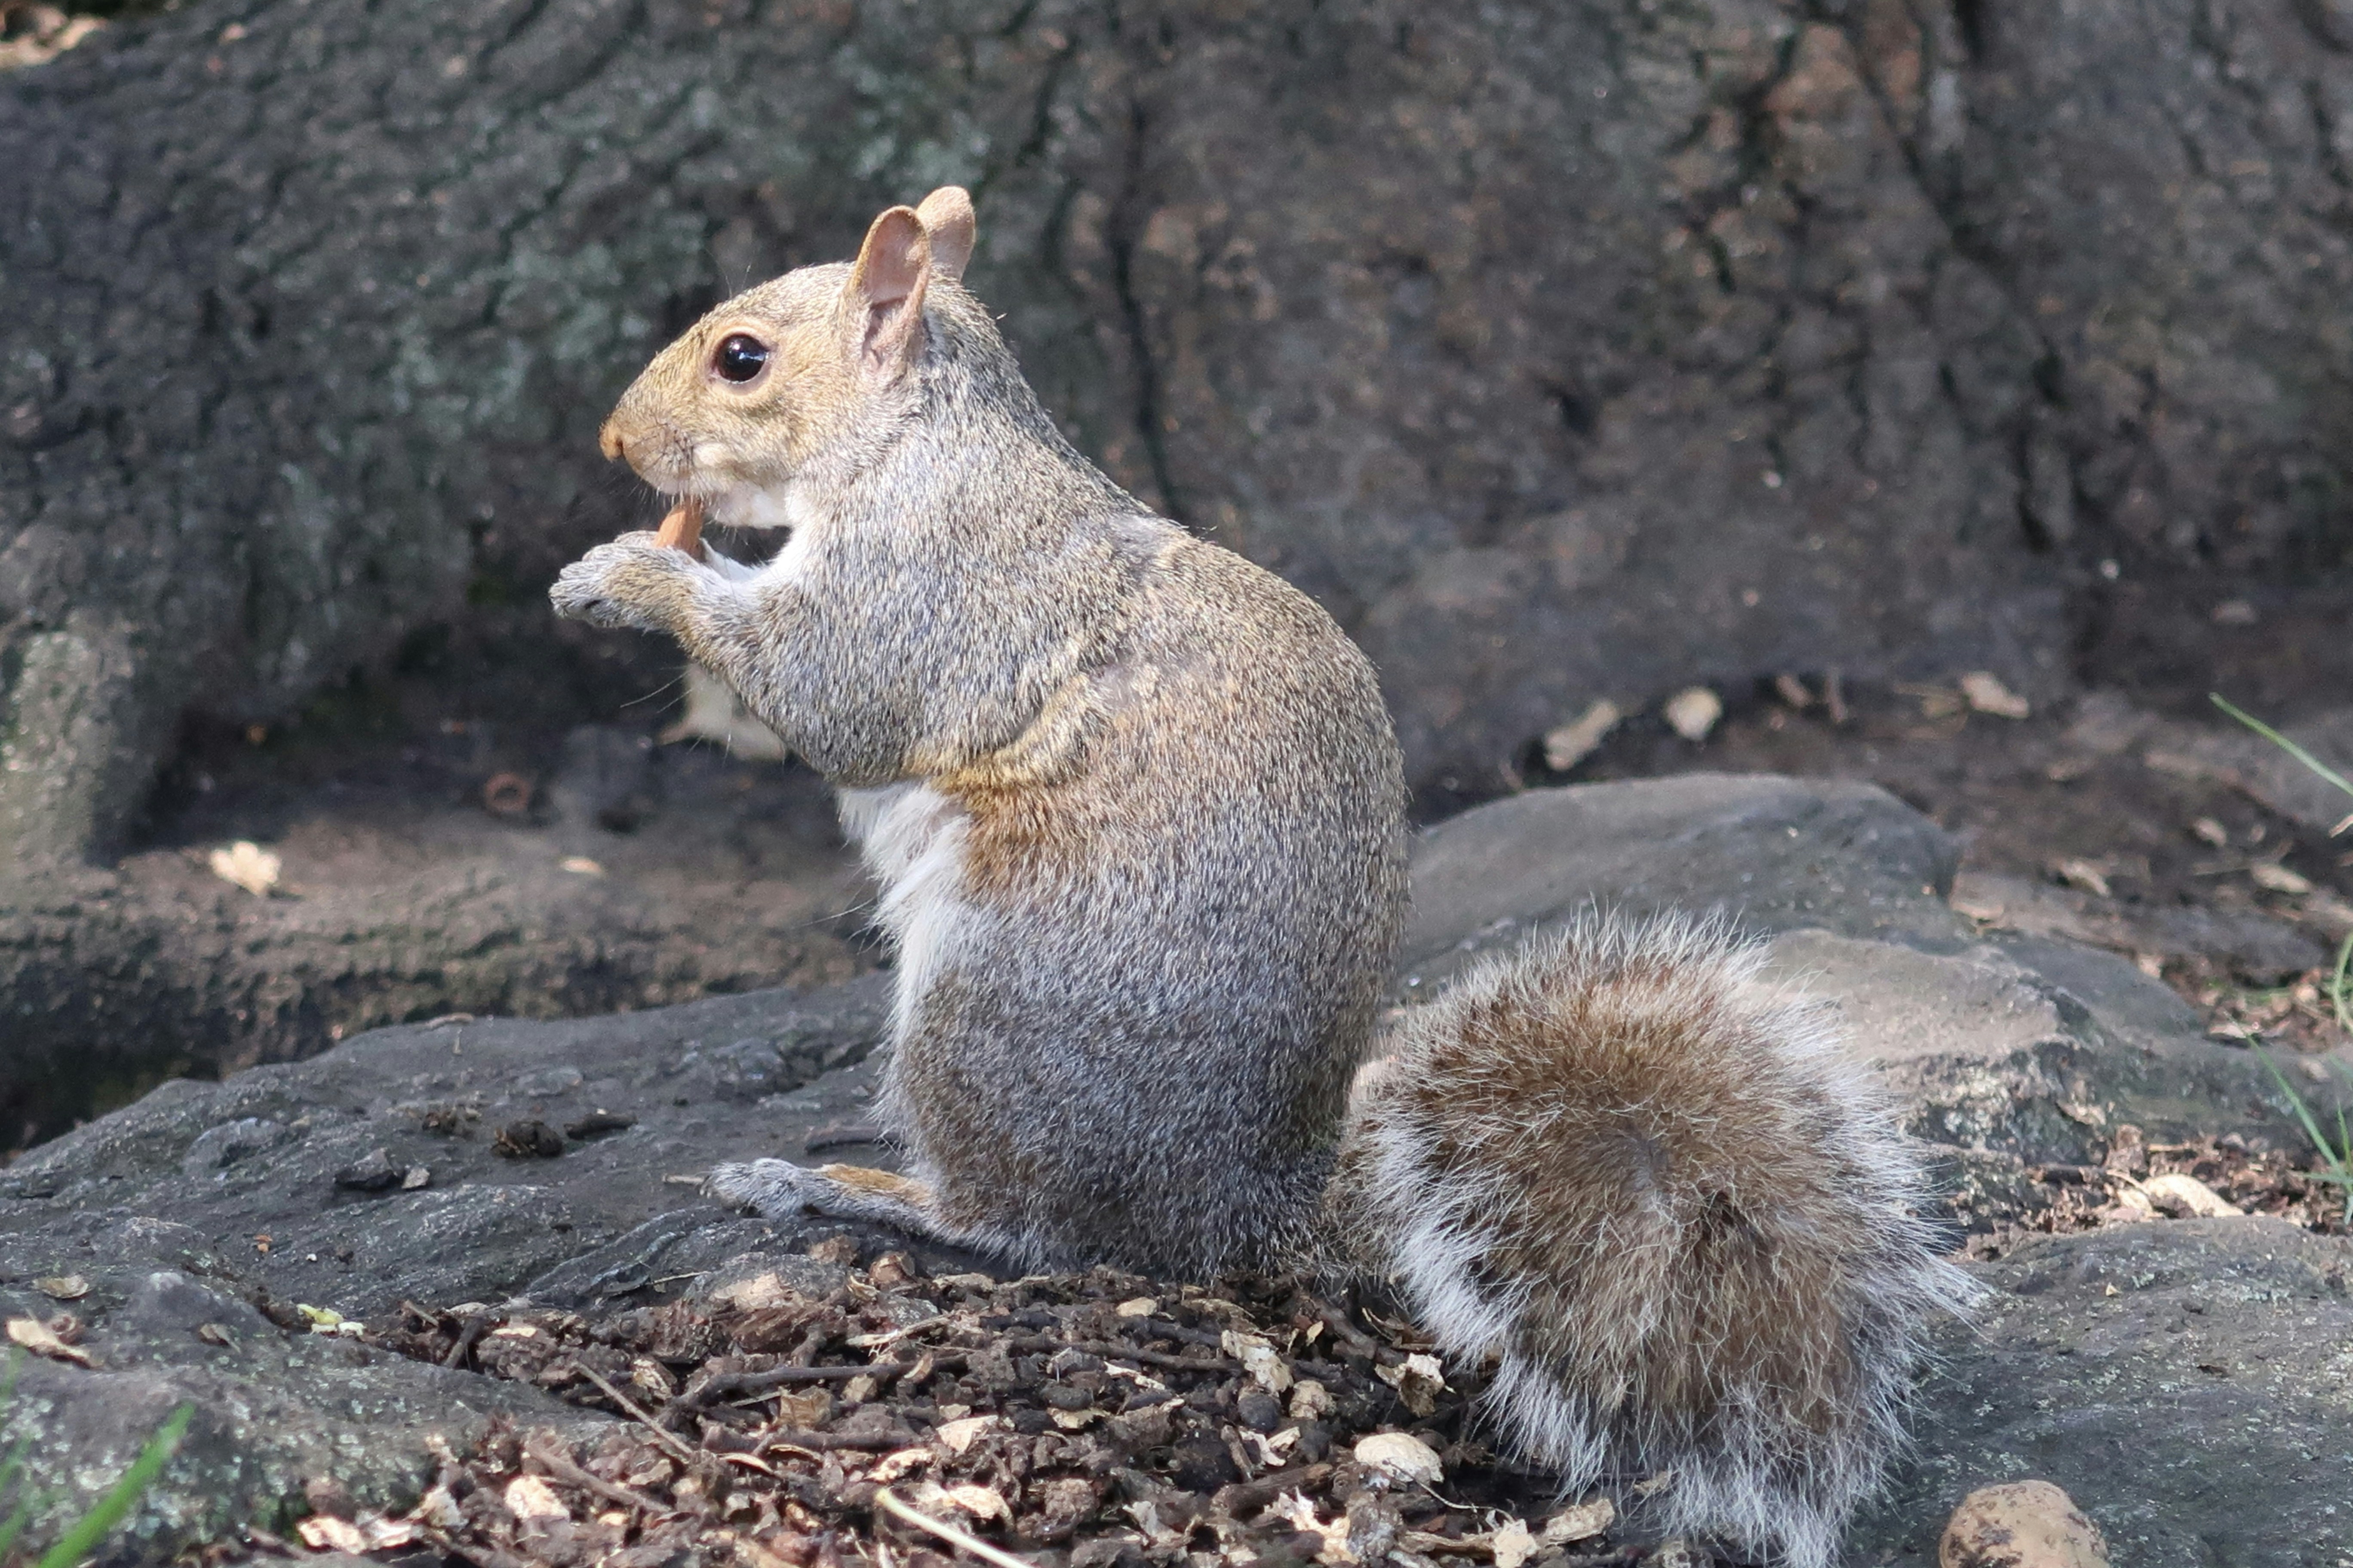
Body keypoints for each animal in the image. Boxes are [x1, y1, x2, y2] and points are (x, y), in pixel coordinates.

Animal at [551, 187, 1975, 1568]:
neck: (917, 447)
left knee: (1028, 1225)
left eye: (742, 358)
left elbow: (827, 696)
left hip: (987, 1010)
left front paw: (630, 574)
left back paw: (848, 1187)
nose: (614, 444)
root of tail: (1245, 1207)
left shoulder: (925, 593)